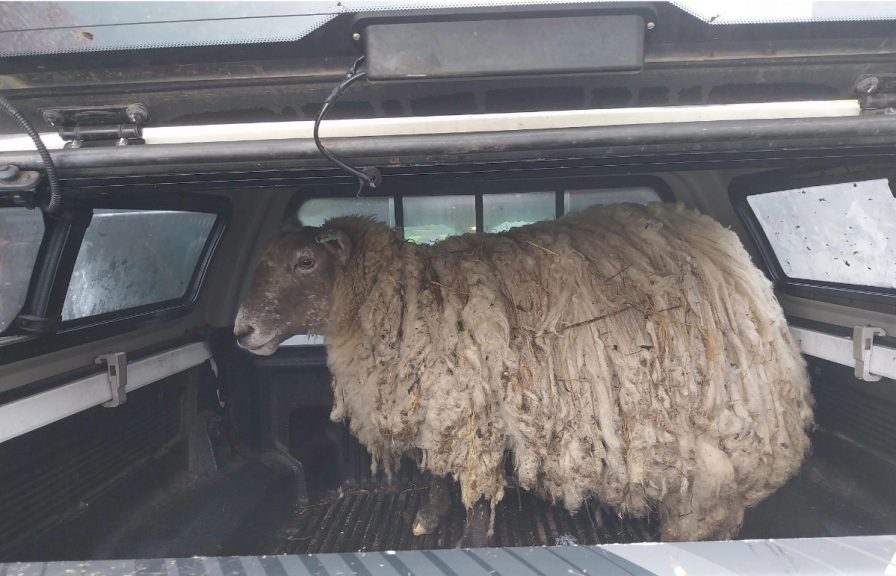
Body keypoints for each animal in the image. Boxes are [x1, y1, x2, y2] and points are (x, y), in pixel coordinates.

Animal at [234, 202, 814, 546]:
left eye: (306, 262)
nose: (241, 331)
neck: (404, 301)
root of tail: (735, 258)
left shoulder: (475, 414)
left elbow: (473, 487)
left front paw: (470, 541)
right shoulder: (438, 406)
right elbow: (434, 473)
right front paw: (427, 519)